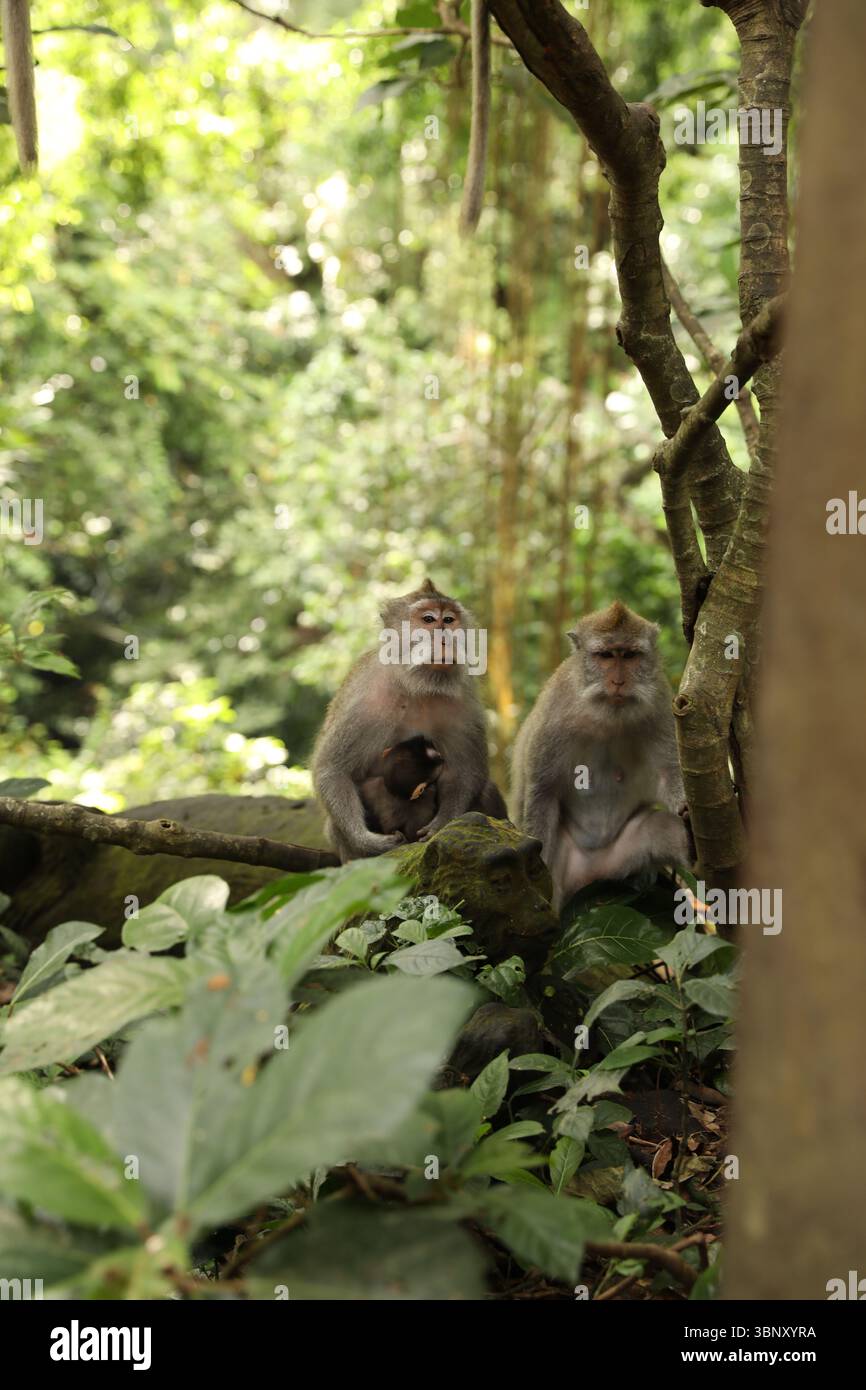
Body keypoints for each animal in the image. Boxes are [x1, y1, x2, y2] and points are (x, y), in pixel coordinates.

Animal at [312, 579, 506, 862]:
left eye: (449, 620)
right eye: (428, 619)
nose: (445, 640)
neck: (418, 685)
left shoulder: (464, 697)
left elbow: (467, 772)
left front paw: (442, 823)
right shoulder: (367, 697)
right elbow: (333, 770)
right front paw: (367, 841)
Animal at [511, 600, 690, 912]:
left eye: (629, 655)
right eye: (606, 655)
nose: (618, 681)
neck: (607, 716)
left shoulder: (660, 704)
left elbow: (669, 773)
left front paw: (684, 804)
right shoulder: (555, 713)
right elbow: (542, 791)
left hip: (621, 860)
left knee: (661, 828)